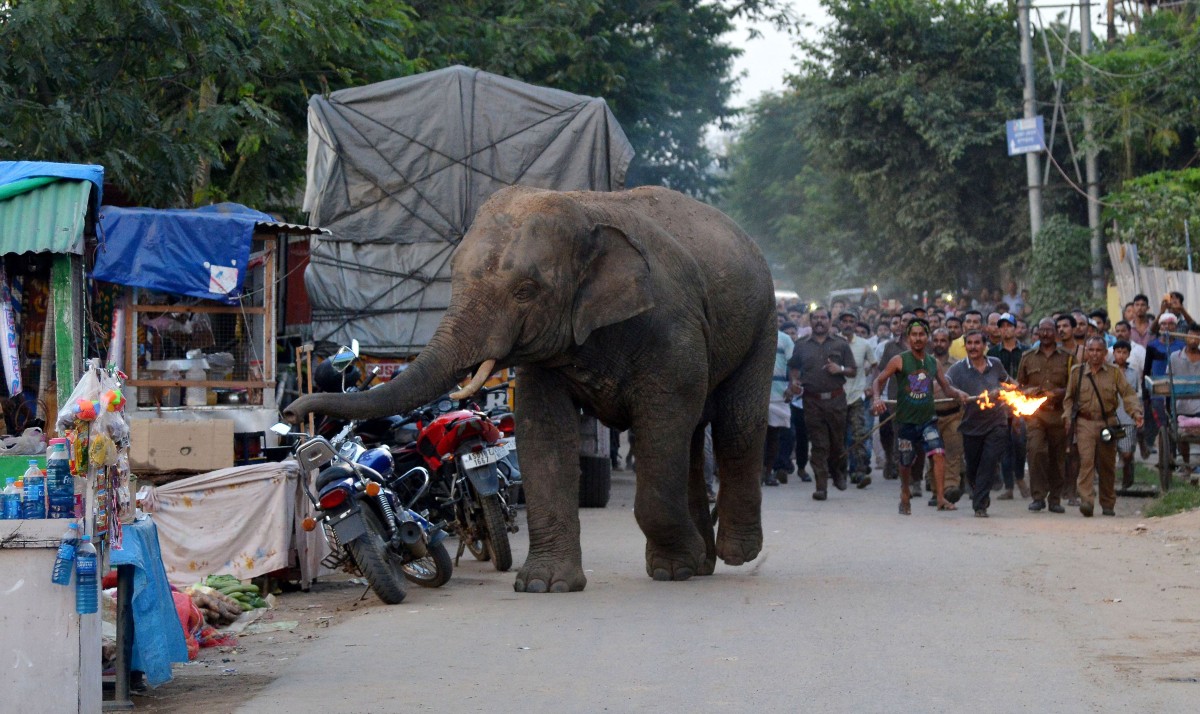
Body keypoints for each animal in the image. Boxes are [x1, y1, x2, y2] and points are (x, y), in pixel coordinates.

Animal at [284, 185, 776, 593]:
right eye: (455, 278)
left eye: (525, 290)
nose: (292, 412)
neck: (586, 208)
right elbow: (544, 434)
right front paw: (544, 585)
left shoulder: (671, 330)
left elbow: (661, 426)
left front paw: (675, 570)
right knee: (693, 440)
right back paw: (706, 561)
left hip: (762, 323)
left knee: (734, 426)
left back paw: (735, 554)